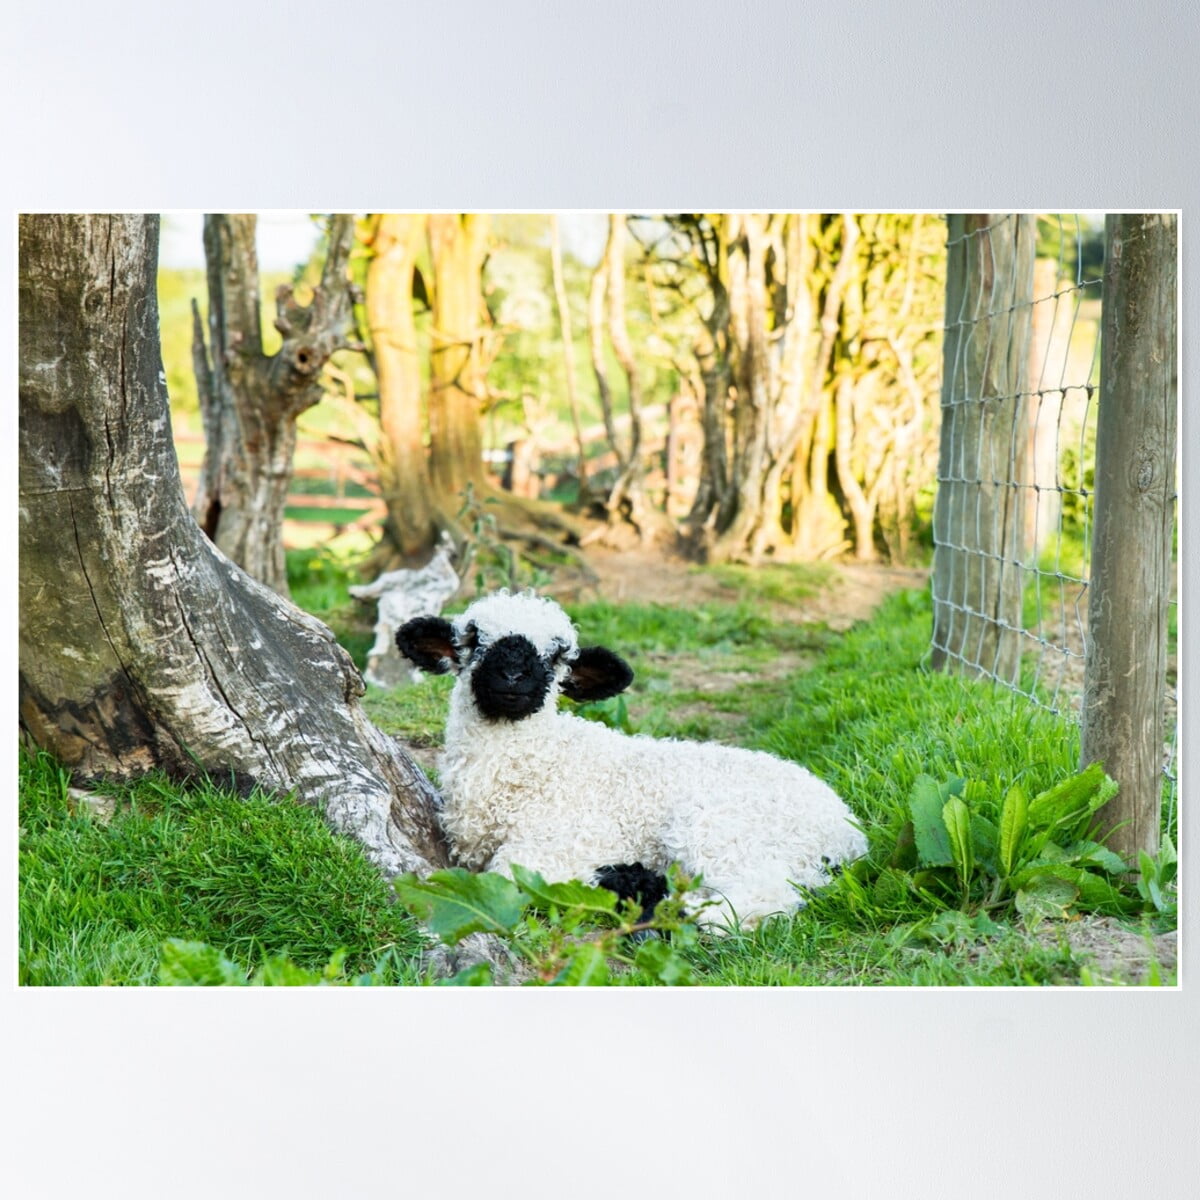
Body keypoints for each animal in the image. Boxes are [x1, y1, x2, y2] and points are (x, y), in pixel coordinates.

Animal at [396, 590, 868, 928]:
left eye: (557, 655)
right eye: (475, 639)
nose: (513, 677)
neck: (538, 767)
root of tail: (848, 834)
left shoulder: (560, 840)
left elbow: (506, 879)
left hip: (723, 827)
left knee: (767, 894)